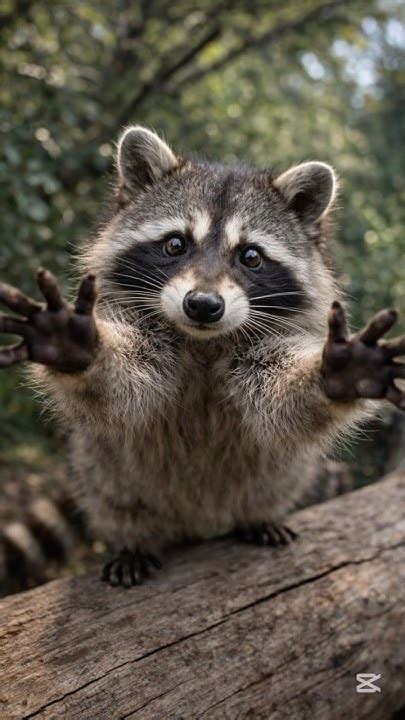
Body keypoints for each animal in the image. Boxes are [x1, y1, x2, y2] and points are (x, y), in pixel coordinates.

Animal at [1, 126, 404, 587]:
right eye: (175, 244)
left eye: (251, 256)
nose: (203, 305)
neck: (204, 341)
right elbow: (123, 385)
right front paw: (82, 349)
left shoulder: (268, 342)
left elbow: (284, 402)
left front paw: (335, 375)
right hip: (99, 469)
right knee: (113, 495)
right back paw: (131, 539)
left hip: (278, 478)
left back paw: (257, 515)